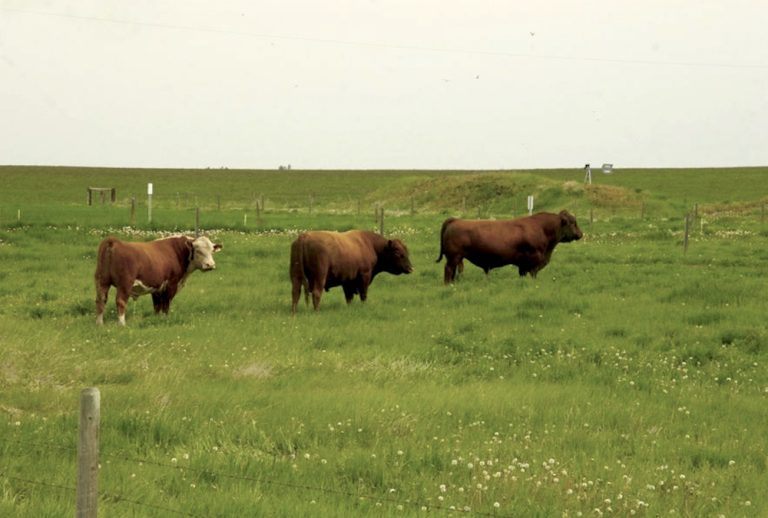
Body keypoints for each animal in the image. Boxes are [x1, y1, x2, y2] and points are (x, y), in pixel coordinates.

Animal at [436, 210, 582, 284]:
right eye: (573, 222)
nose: (580, 234)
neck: (542, 228)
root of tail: (455, 220)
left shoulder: (523, 265)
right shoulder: (533, 261)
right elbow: (533, 274)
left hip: (456, 258)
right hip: (453, 257)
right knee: (448, 269)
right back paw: (448, 285)